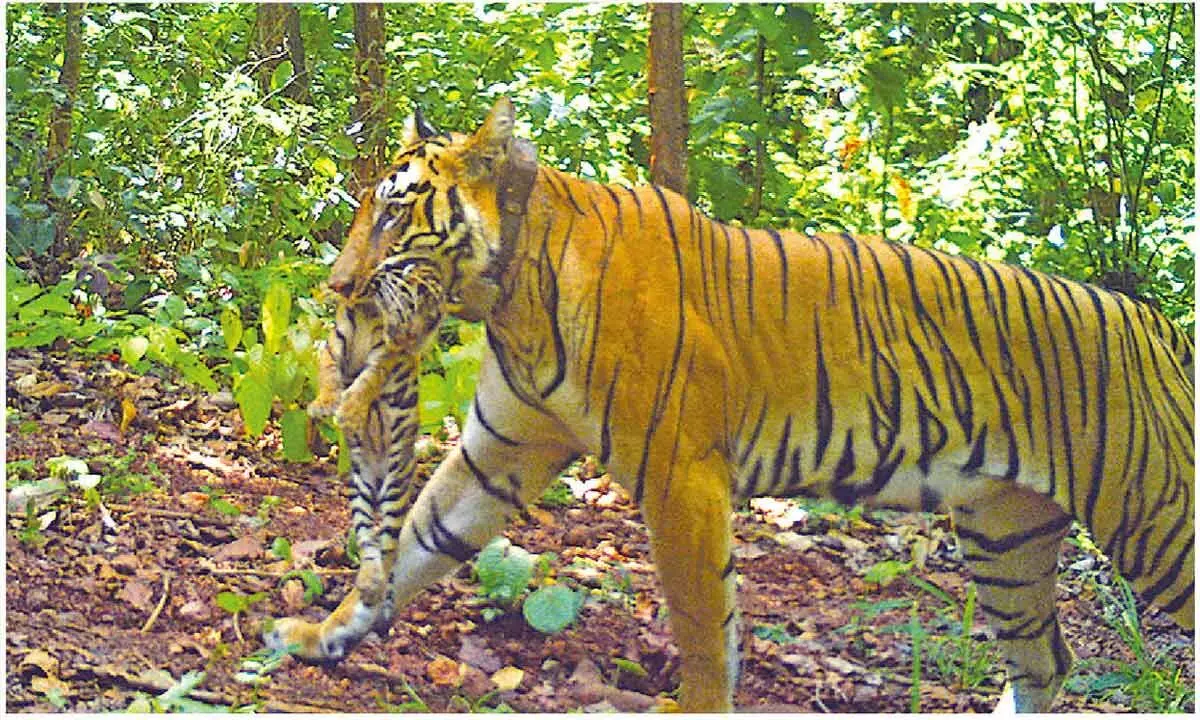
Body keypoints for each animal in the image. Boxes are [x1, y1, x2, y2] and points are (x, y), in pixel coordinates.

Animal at [266, 97, 1194, 713]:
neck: (510, 296)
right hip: (1007, 538)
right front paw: (324, 634)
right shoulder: (501, 447)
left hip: (1156, 522)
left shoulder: (680, 475)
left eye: (394, 213)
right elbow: (417, 540)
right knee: (1044, 664)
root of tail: (1157, 324)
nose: (336, 287)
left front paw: (695, 704)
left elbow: (703, 621)